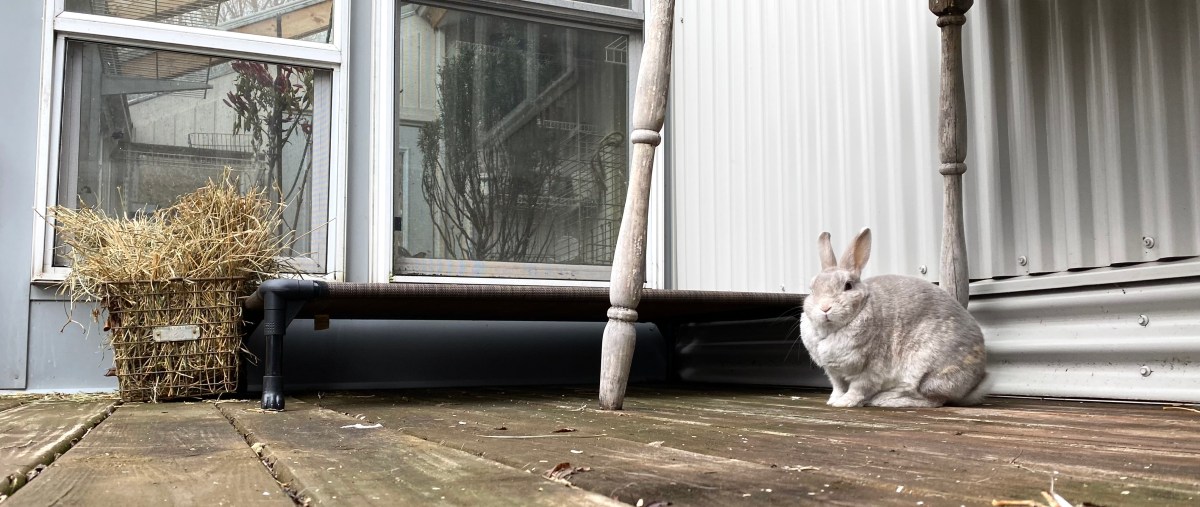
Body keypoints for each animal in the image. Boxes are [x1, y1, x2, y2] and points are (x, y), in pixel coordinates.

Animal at [799, 228, 988, 408]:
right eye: (812, 289)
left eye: (848, 286)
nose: (824, 308)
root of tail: (977, 382)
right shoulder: (834, 374)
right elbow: (838, 387)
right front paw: (833, 400)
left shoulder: (870, 370)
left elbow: (858, 388)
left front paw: (844, 403)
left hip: (928, 373)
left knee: (933, 400)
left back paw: (885, 399)